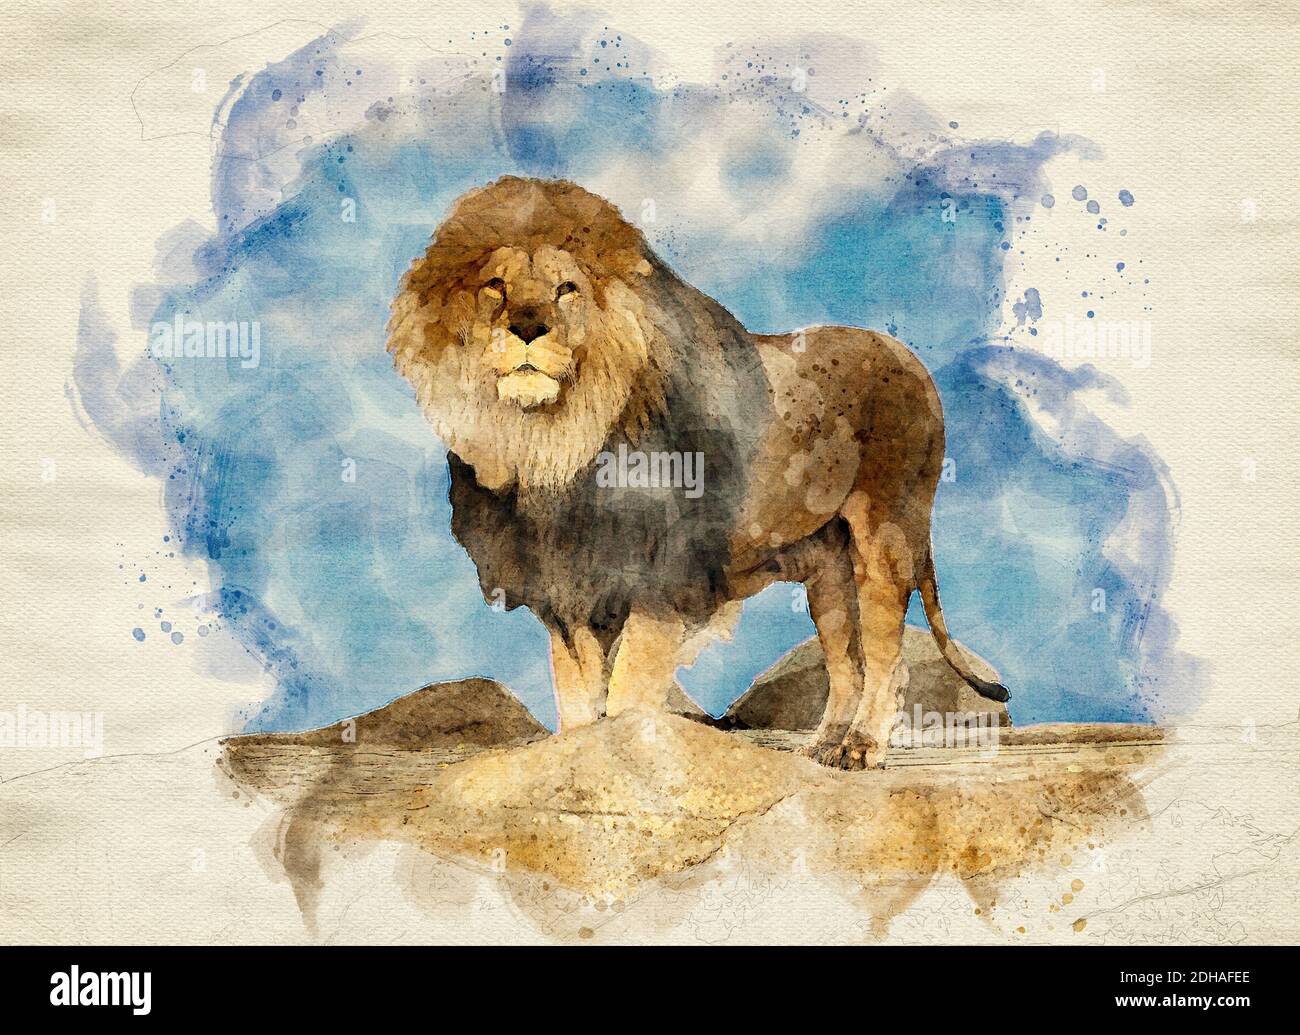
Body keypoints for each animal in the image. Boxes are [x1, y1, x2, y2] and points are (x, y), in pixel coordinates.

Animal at [387, 176, 1008, 769]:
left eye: (567, 289)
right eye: (496, 285)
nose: (527, 327)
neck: (550, 444)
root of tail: (909, 358)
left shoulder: (659, 580)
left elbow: (627, 695)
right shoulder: (567, 587)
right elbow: (579, 702)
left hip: (887, 535)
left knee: (885, 654)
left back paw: (861, 748)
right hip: (827, 568)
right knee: (846, 661)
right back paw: (825, 746)